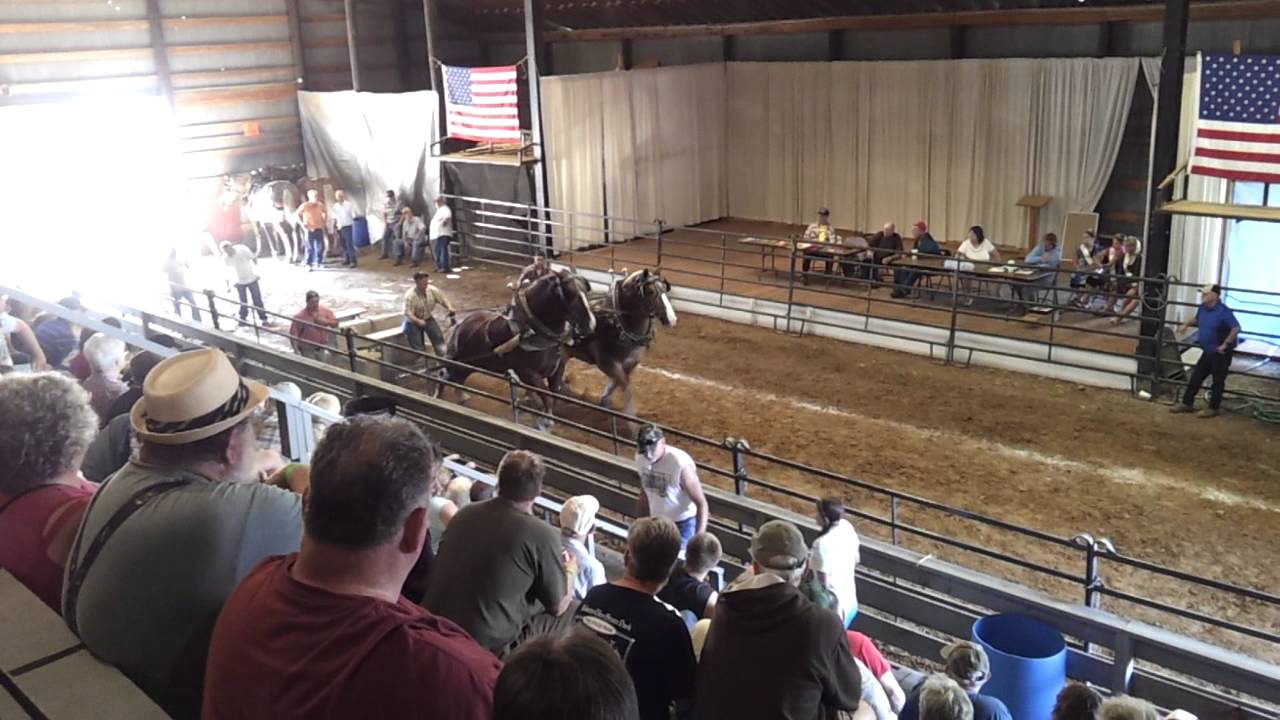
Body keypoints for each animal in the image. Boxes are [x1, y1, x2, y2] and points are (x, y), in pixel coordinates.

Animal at [439, 268, 596, 430]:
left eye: (586, 291)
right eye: (570, 293)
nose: (591, 324)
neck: (536, 333)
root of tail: (460, 326)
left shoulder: (558, 369)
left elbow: (554, 393)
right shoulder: (529, 374)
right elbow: (545, 395)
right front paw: (546, 421)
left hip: (470, 365)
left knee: (456, 378)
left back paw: (462, 396)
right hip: (461, 361)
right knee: (446, 374)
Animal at [566, 268, 677, 416]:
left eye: (664, 289)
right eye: (651, 291)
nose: (672, 319)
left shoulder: (631, 363)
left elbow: (617, 384)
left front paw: (605, 400)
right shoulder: (606, 363)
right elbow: (626, 387)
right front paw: (629, 416)